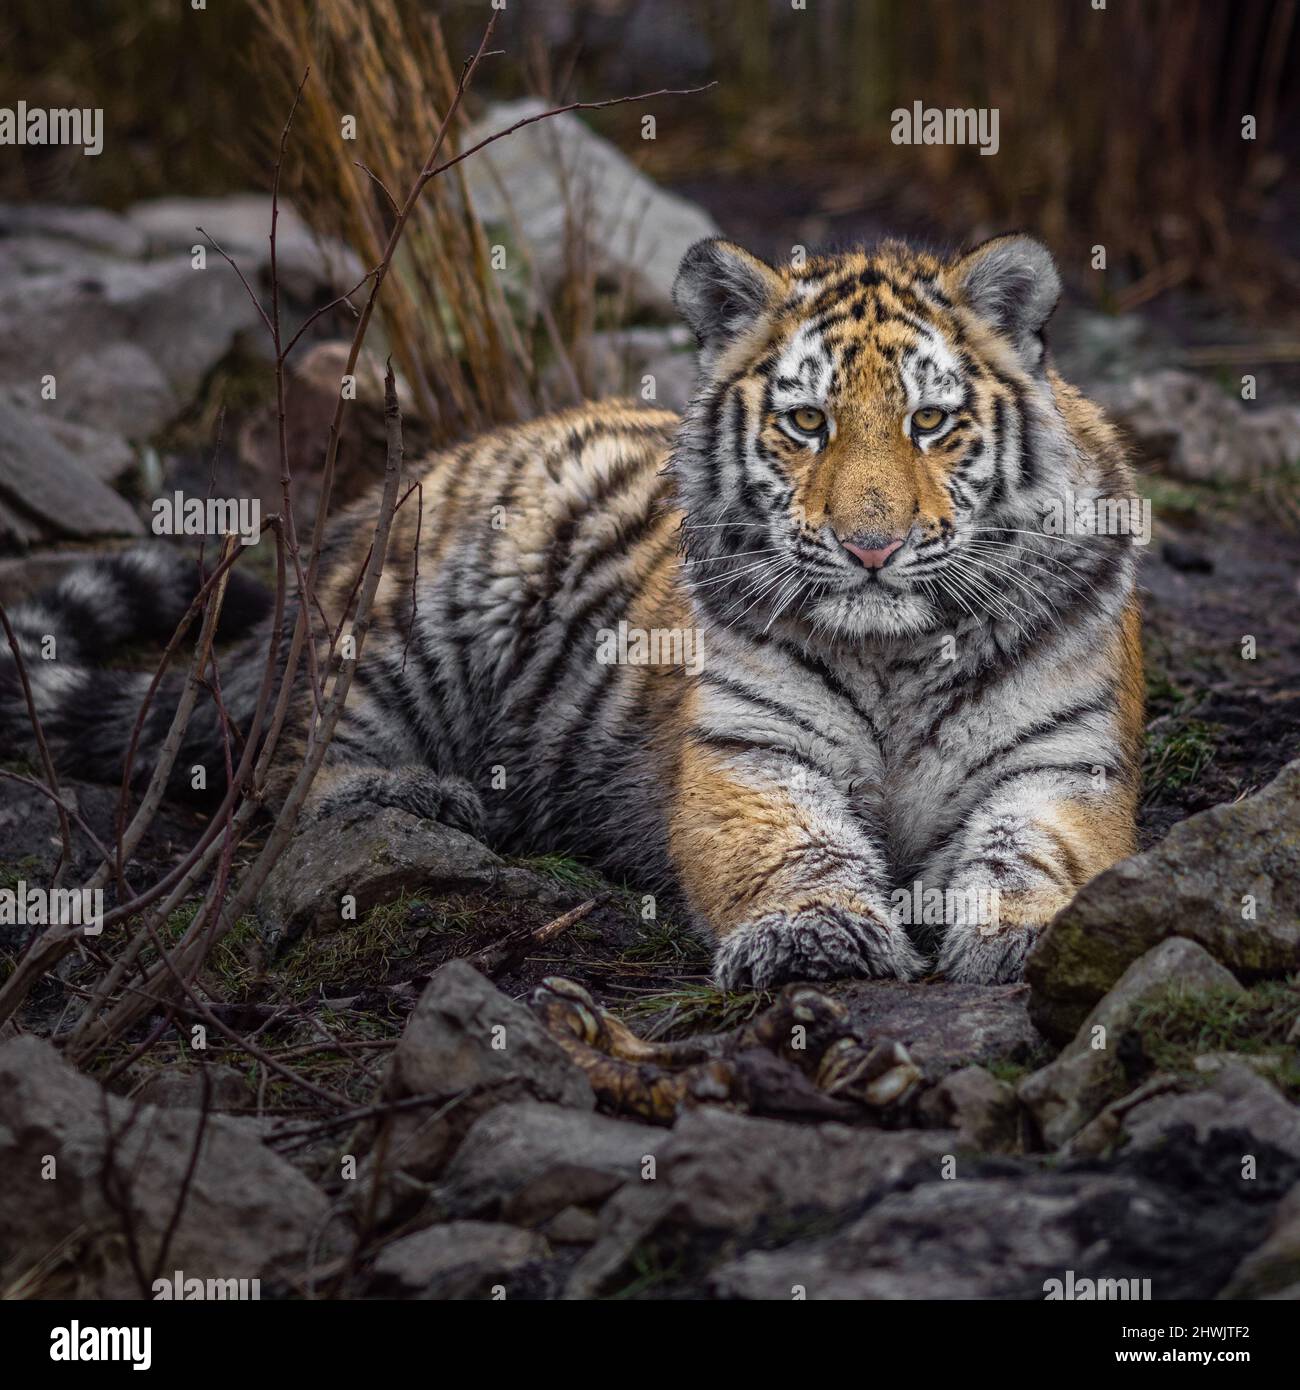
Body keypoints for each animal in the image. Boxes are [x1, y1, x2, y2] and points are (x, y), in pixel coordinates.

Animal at [0, 233, 1144, 989]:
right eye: (808, 423)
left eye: (932, 422)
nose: (872, 547)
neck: (896, 652)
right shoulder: (748, 755)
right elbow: (795, 847)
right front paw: (816, 935)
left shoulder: (1063, 763)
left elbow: (1037, 853)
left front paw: (1030, 932)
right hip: (413, 626)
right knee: (286, 770)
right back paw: (419, 794)